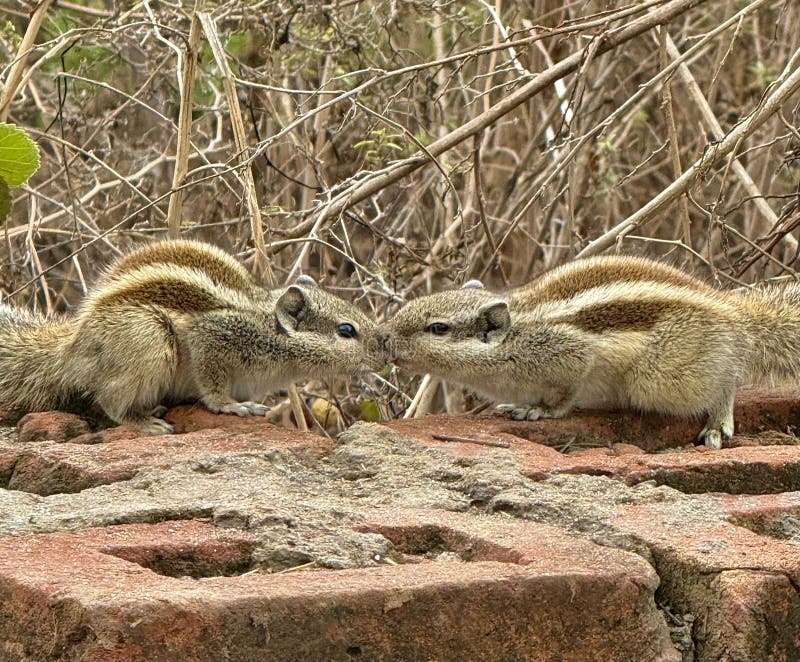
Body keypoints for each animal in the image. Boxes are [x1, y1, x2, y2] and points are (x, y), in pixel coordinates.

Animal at [0, 240, 377, 435]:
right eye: (346, 330)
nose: (384, 348)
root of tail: (70, 348)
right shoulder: (215, 335)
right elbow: (212, 382)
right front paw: (231, 406)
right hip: (148, 337)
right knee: (109, 402)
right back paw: (144, 421)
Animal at [384, 254, 800, 449]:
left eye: (438, 328)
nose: (385, 339)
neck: (518, 331)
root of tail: (736, 314)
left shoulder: (569, 354)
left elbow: (564, 394)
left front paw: (537, 410)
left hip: (659, 377)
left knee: (726, 380)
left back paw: (717, 422)